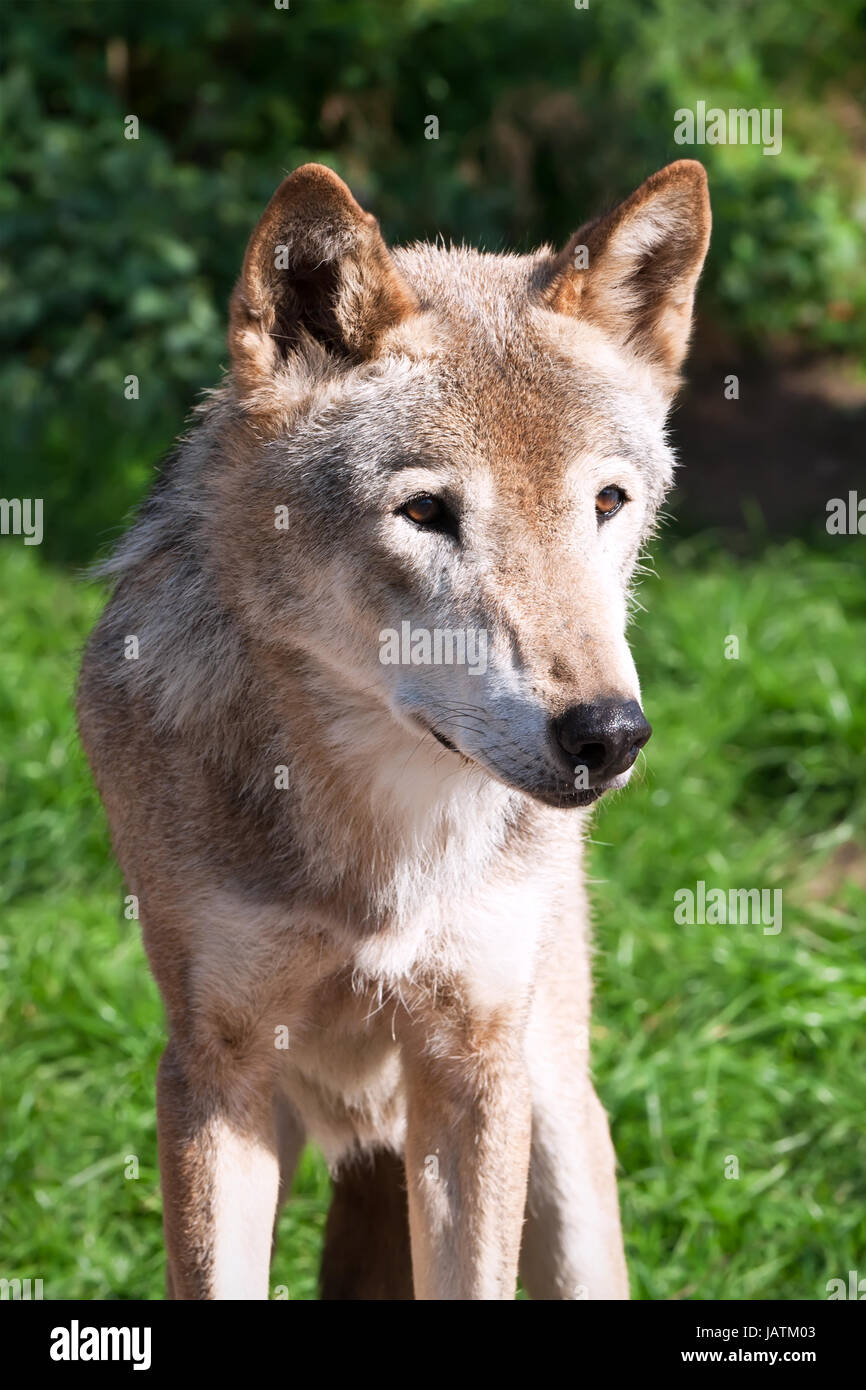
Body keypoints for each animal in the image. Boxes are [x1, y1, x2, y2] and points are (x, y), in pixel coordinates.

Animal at [77, 159, 710, 1300]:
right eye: (424, 514)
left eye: (606, 501)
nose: (608, 734)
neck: (384, 834)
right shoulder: (212, 1071)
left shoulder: (470, 1068)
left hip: (553, 1121)